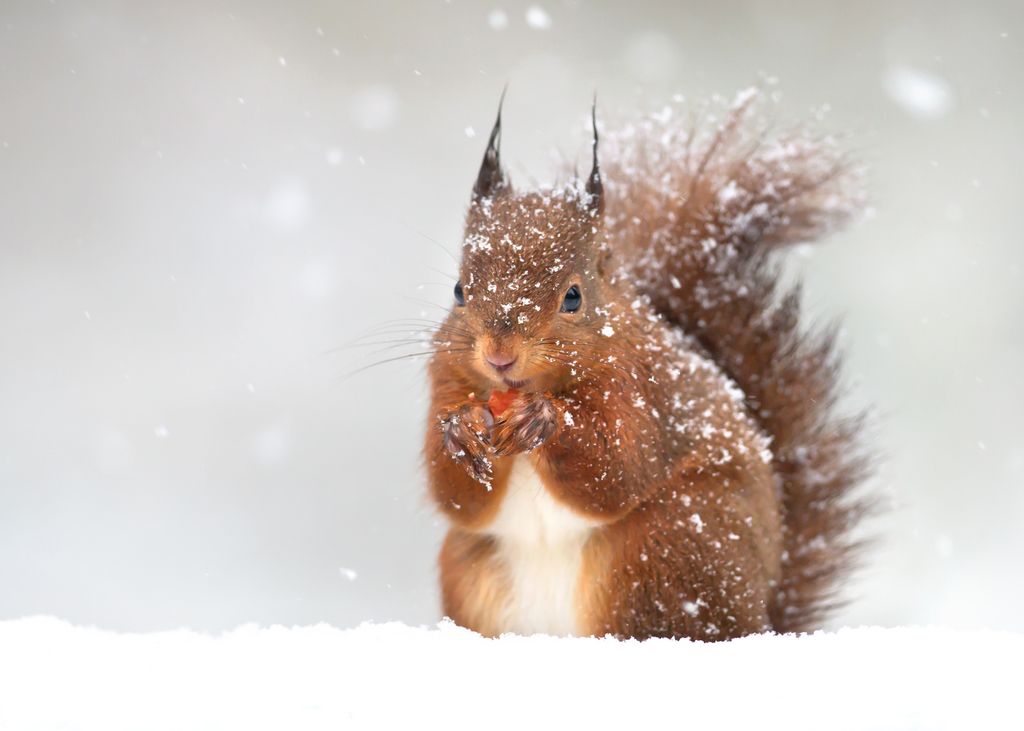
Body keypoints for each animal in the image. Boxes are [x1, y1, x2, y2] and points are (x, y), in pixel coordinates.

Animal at [424, 89, 870, 640]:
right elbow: (456, 496)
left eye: (573, 296)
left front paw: (546, 419)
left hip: (663, 550)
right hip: (473, 572)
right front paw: (461, 430)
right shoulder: (445, 379)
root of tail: (762, 616)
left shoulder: (641, 387)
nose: (499, 355)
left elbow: (618, 466)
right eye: (459, 291)